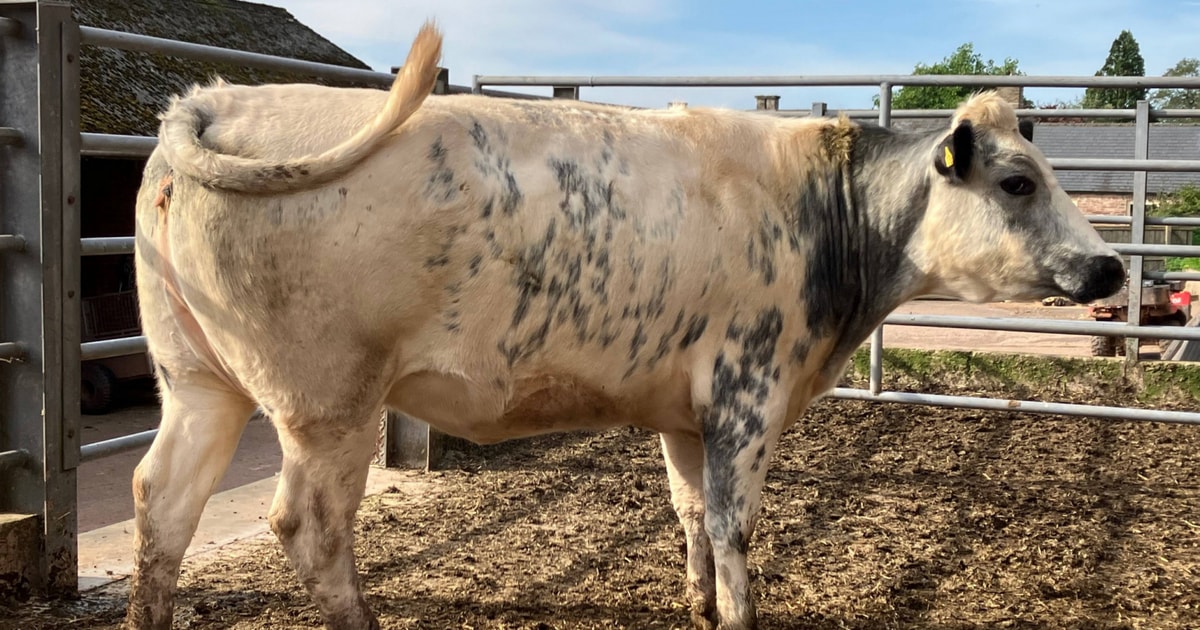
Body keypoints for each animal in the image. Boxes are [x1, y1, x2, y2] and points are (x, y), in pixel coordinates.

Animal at [124, 21, 1125, 630]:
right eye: (1017, 182)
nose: (1111, 267)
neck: (822, 213)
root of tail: (215, 99)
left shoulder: (684, 412)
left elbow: (689, 513)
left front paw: (700, 605)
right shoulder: (748, 393)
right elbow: (733, 522)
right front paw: (740, 611)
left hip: (199, 383)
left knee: (160, 499)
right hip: (326, 400)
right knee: (309, 525)